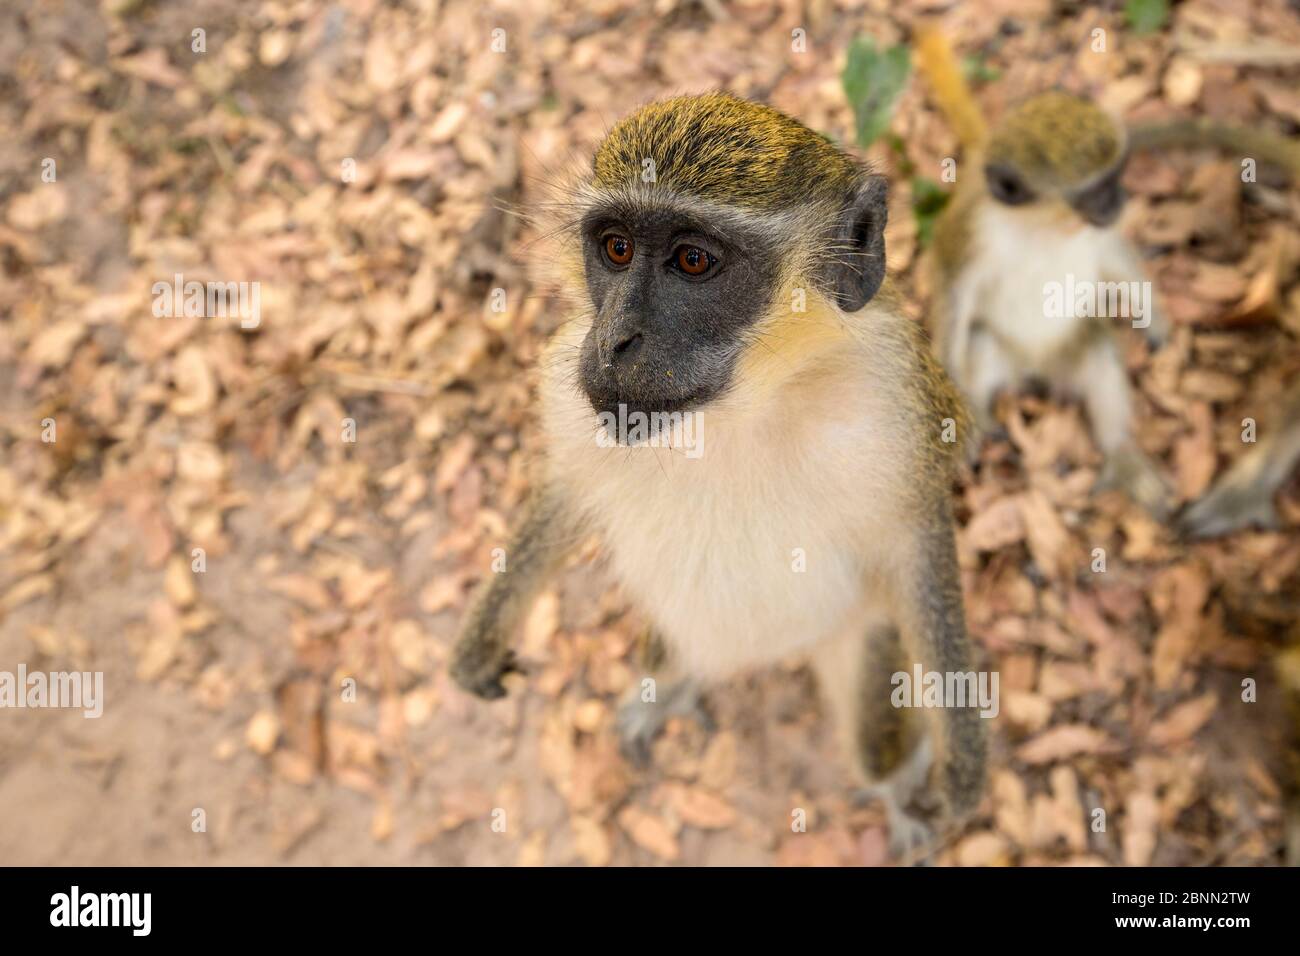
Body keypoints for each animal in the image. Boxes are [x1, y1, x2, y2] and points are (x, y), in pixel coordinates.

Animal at [450, 92, 987, 861]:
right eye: (615, 248)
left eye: (693, 261)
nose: (613, 342)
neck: (737, 410)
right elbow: (561, 497)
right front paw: (481, 641)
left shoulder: (895, 404)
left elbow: (919, 547)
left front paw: (963, 765)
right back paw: (668, 691)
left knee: (871, 735)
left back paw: (894, 793)